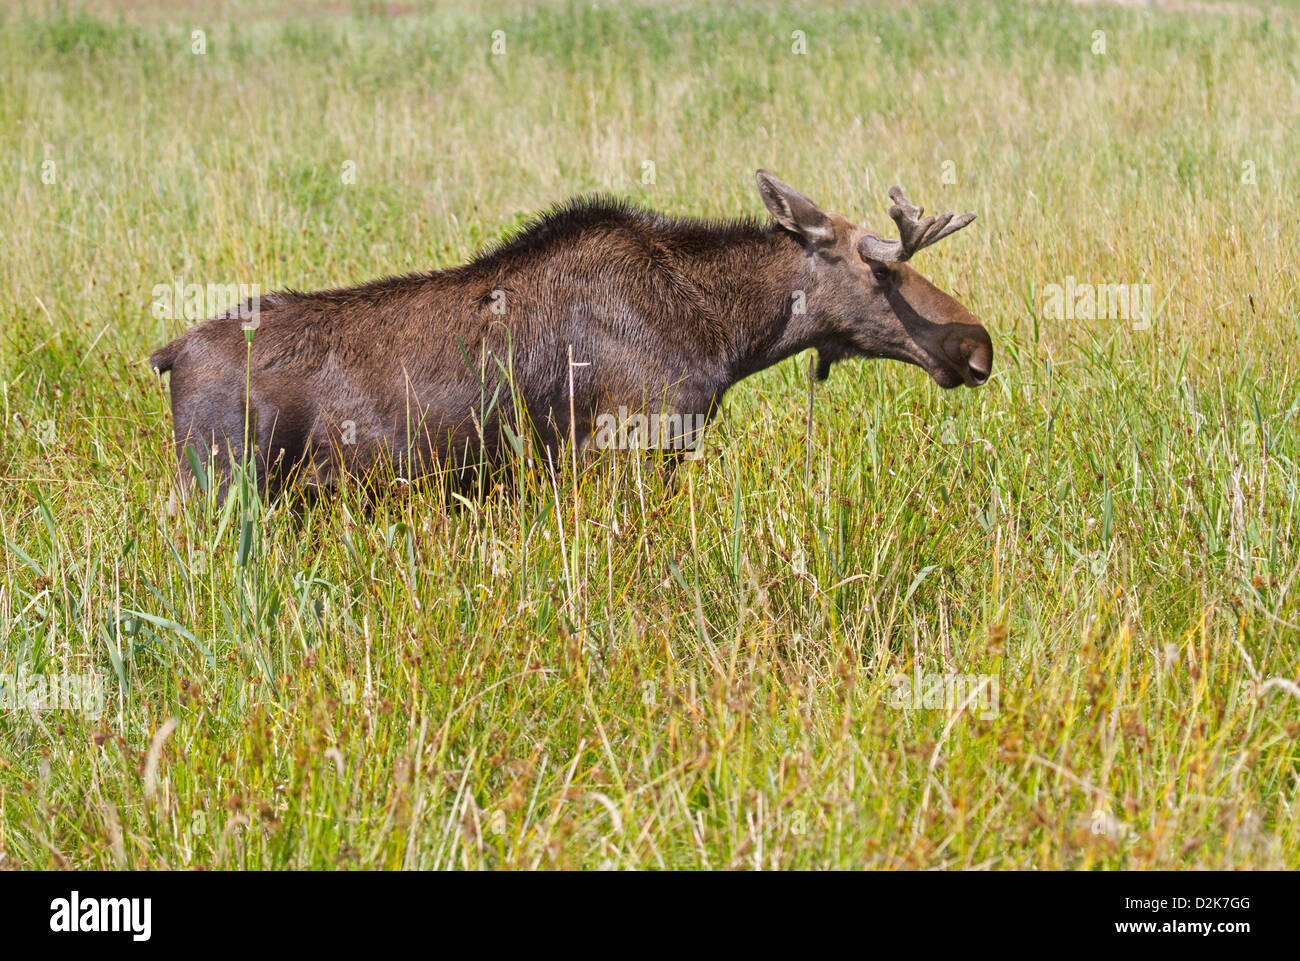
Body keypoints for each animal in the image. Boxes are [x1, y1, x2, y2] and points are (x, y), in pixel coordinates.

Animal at [149, 170, 990, 506]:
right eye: (880, 268)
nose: (977, 344)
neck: (724, 335)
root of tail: (168, 355)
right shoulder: (625, 449)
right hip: (221, 488)